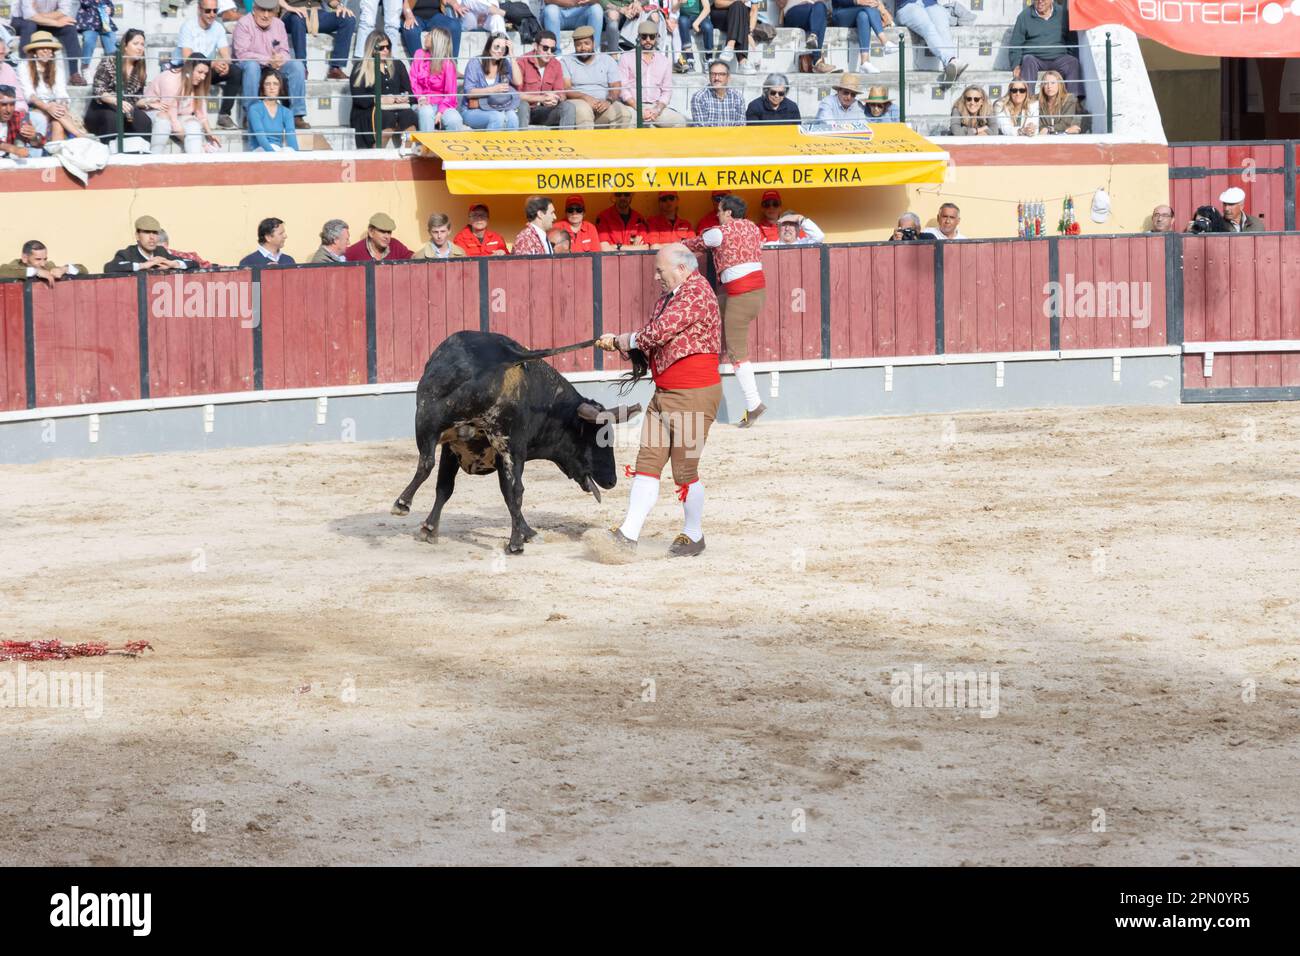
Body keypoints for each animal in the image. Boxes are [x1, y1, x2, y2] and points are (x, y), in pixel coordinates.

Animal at [390, 331, 640, 554]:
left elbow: (449, 486)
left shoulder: (463, 448)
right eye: (598, 439)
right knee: (513, 489)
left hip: (432, 421)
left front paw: (428, 528)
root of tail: (507, 355)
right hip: (495, 442)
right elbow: (448, 488)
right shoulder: (463, 449)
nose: (612, 481)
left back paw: (402, 503)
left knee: (426, 463)